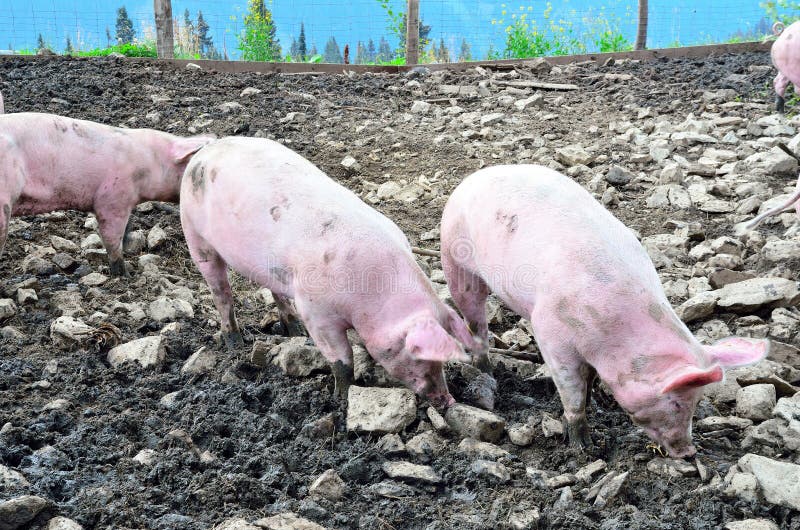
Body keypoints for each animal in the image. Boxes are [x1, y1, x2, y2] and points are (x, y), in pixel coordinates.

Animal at [179, 137, 476, 407]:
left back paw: (294, 331)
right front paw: (341, 399)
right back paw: (236, 343)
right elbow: (342, 360)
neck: (372, 294)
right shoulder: (316, 313)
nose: (448, 400)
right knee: (220, 291)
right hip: (194, 233)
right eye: (418, 353)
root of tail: (208, 149)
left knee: (274, 290)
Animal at [441, 165, 769, 457]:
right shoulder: (551, 334)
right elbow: (571, 395)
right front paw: (584, 449)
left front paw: (596, 400)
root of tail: (473, 178)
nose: (688, 452)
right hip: (455, 260)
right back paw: (486, 372)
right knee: (475, 321)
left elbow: (590, 380)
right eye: (677, 402)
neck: (613, 336)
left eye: (698, 402)